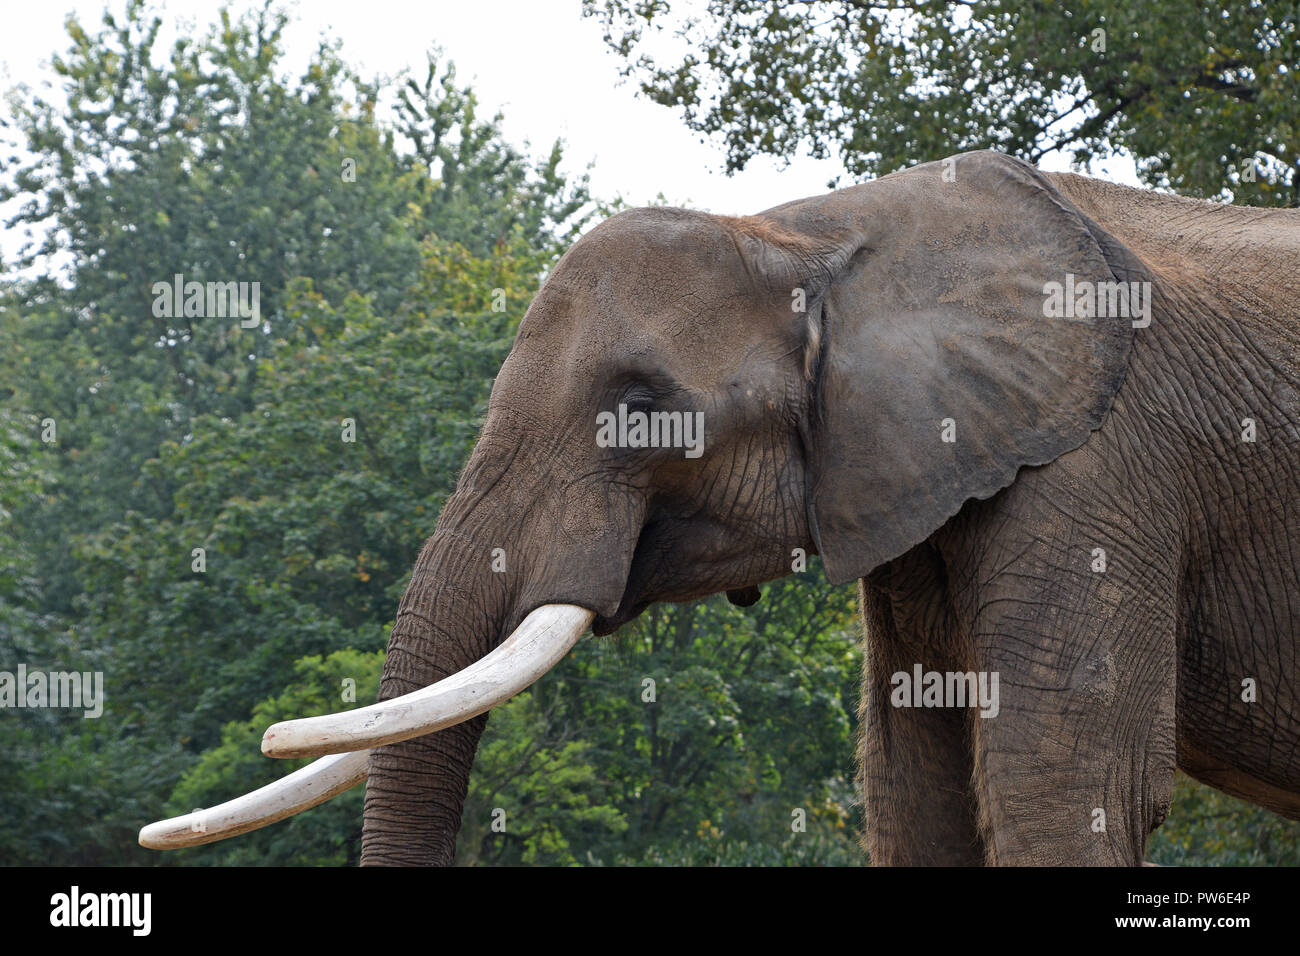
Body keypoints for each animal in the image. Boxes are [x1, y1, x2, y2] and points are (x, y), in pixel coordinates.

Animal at [140, 149, 1300, 866]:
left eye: (640, 405)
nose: (271, 737)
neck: (810, 235)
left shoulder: (1101, 468)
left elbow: (1066, 784)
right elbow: (916, 791)